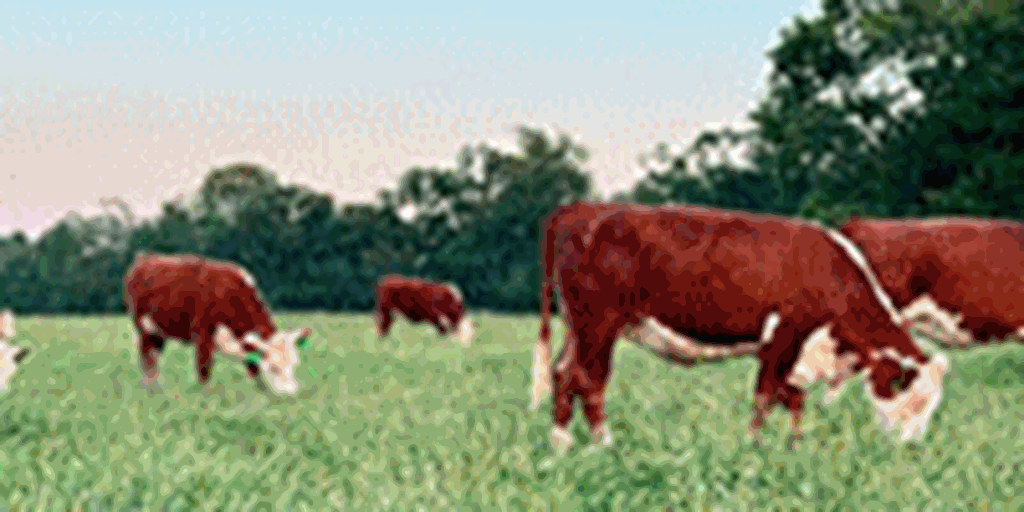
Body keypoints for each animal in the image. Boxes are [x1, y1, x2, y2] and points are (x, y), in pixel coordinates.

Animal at [124, 252, 314, 395]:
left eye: (294, 364)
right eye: (274, 368)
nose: (290, 394)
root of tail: (146, 257)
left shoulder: (245, 340)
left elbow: (254, 368)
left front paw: (263, 395)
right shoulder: (203, 335)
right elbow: (204, 370)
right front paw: (204, 398)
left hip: (159, 332)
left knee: (154, 360)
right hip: (144, 328)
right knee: (147, 360)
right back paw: (151, 391)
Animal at [539, 203, 950, 453]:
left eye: (933, 406)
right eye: (916, 401)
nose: (914, 448)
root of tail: (583, 208)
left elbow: (794, 400)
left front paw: (794, 446)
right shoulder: (781, 340)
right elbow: (765, 398)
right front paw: (755, 447)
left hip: (577, 326)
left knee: (562, 374)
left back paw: (560, 446)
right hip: (598, 324)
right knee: (588, 381)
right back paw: (603, 445)